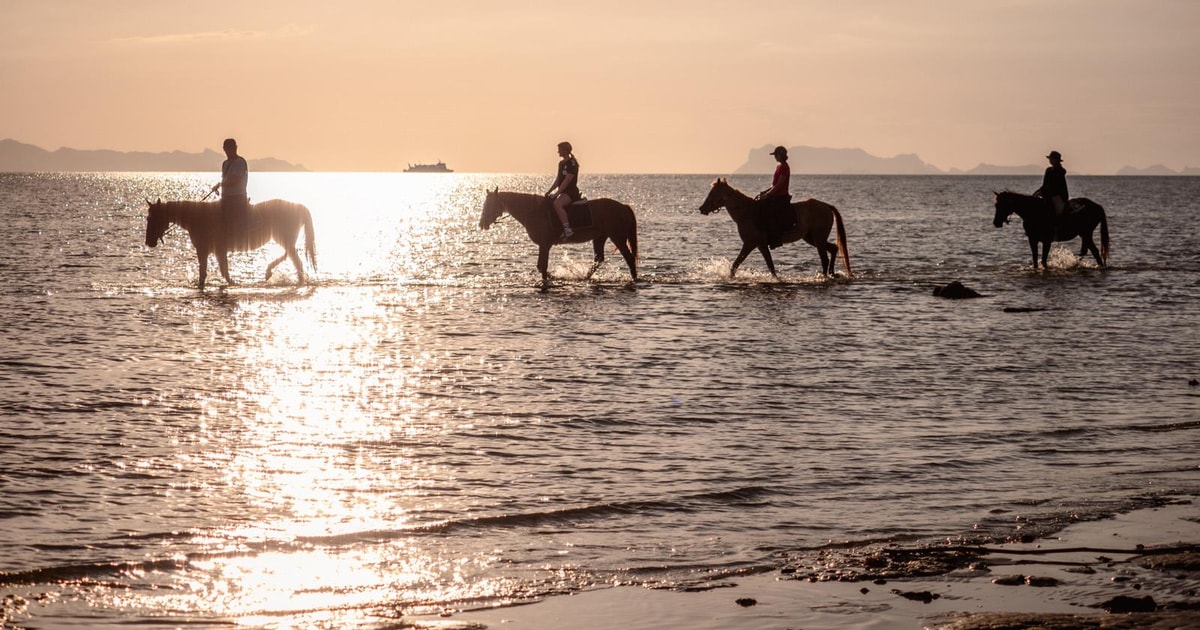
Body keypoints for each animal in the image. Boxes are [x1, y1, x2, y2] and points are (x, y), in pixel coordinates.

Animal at [144, 198, 317, 289]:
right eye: (148, 218)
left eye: (153, 218)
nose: (148, 242)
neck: (199, 217)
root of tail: (298, 206)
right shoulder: (218, 251)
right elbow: (223, 271)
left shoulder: (204, 250)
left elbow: (206, 273)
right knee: (293, 257)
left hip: (284, 237)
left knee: (294, 258)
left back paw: (273, 272)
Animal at [479, 189, 638, 283]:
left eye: (490, 205)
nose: (481, 224)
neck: (533, 210)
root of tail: (623, 206)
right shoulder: (544, 245)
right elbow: (541, 267)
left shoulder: (545, 245)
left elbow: (542, 266)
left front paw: (551, 278)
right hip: (600, 237)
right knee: (599, 259)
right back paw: (584, 277)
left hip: (617, 237)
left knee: (629, 259)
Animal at [698, 178, 852, 278]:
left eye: (713, 193)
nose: (701, 208)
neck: (747, 212)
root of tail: (826, 206)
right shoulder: (759, 245)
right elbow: (769, 265)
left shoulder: (751, 244)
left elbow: (737, 265)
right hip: (812, 238)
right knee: (833, 249)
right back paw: (832, 273)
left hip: (818, 239)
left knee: (825, 259)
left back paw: (824, 277)